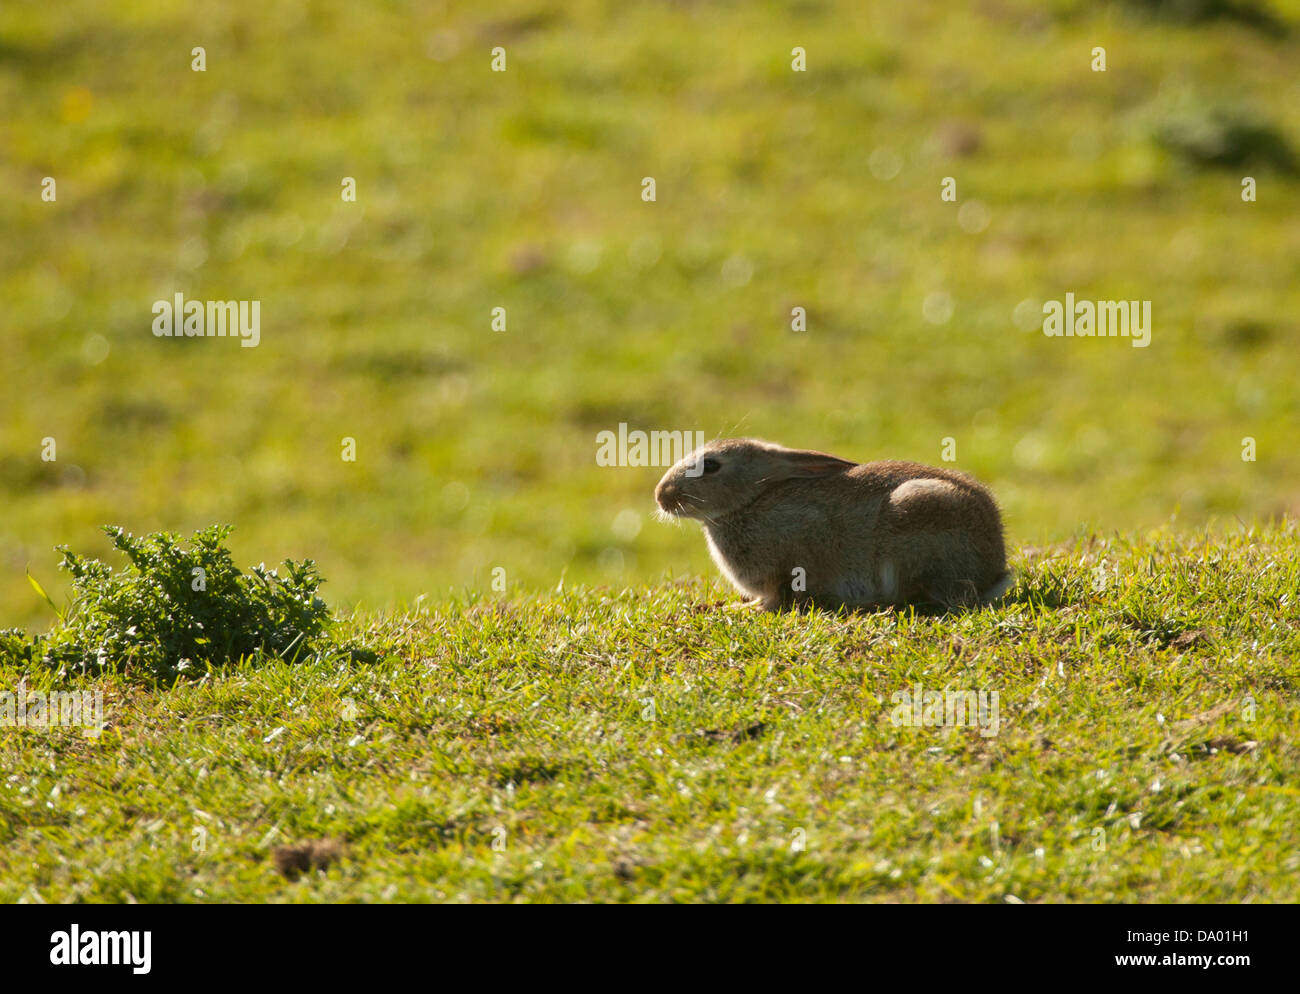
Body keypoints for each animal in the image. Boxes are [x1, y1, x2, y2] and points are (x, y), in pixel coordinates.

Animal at [654, 438, 1011, 612]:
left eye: (711, 465)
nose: (661, 495)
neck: (748, 503)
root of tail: (993, 570)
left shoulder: (792, 559)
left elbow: (777, 596)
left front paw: (743, 610)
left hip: (912, 517)